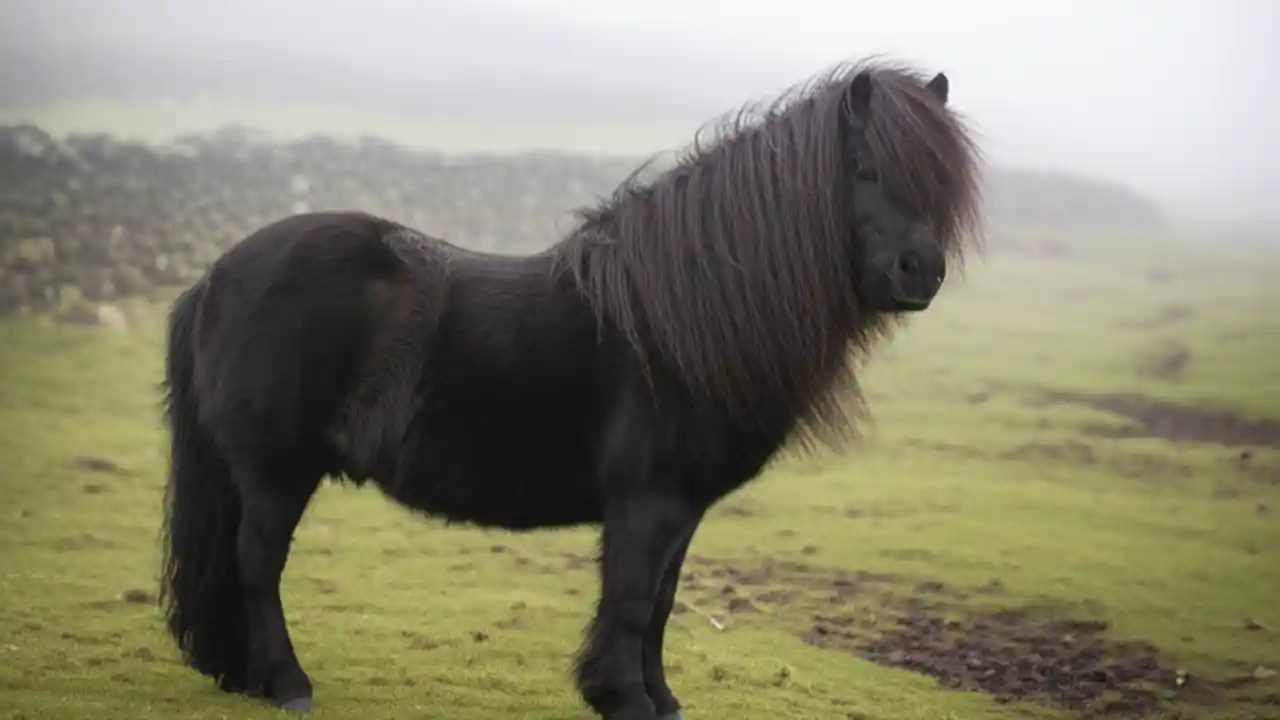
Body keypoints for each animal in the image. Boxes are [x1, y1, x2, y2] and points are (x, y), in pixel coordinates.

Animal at [158, 57, 982, 720]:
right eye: (865, 166)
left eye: (940, 183)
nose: (921, 272)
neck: (678, 319)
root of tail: (215, 274)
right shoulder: (646, 503)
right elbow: (630, 602)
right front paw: (623, 699)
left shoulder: (682, 509)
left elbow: (661, 603)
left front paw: (660, 699)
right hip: (275, 472)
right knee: (257, 567)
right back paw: (288, 685)